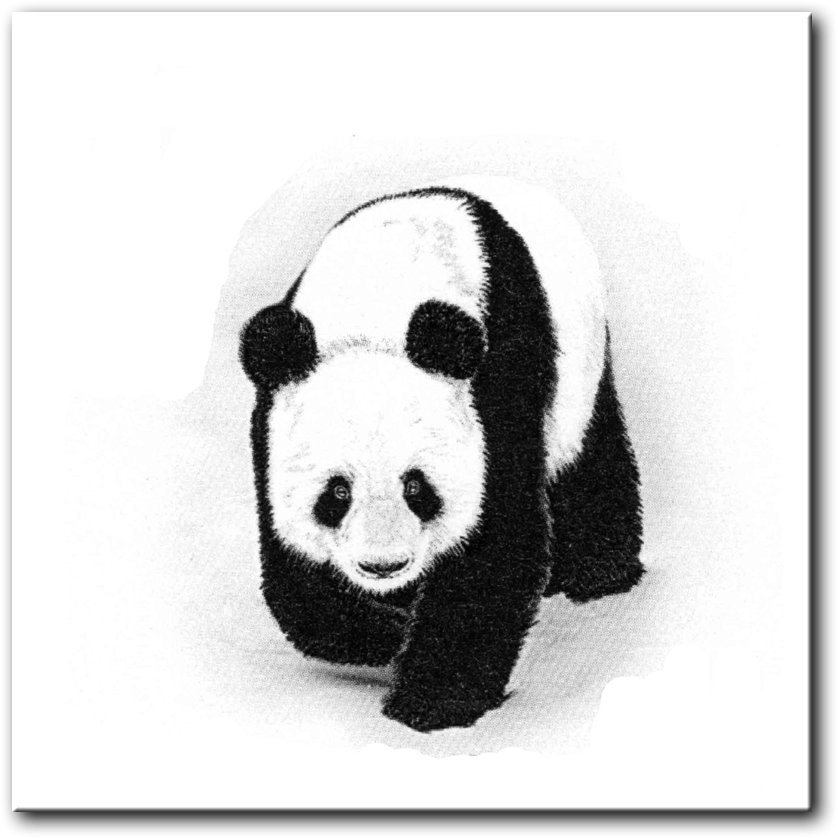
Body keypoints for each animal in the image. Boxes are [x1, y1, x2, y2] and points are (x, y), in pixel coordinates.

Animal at [239, 176, 644, 733]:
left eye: (416, 486)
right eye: (337, 493)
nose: (384, 565)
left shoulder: (500, 374)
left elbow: (494, 541)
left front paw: (431, 700)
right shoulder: (272, 413)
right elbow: (293, 564)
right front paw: (385, 634)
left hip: (581, 364)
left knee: (589, 463)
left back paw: (597, 573)